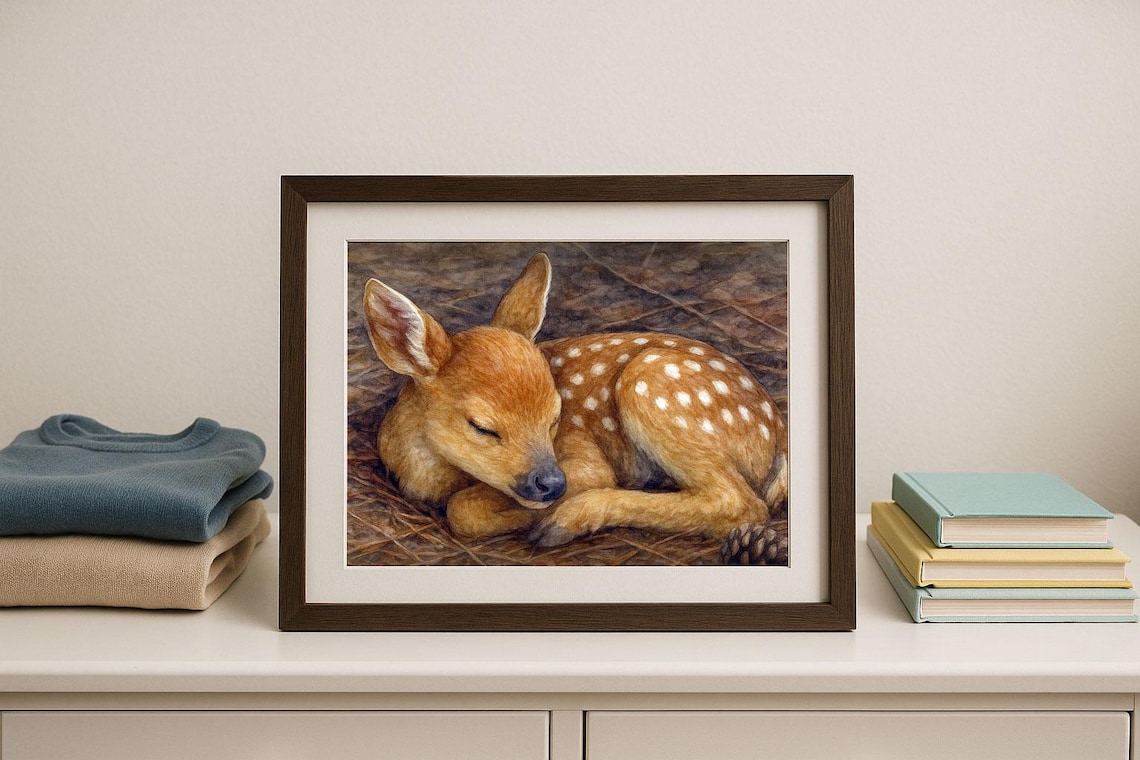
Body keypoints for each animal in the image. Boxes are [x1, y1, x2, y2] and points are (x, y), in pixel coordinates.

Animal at [362, 253, 788, 551]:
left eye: (555, 417)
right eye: (482, 427)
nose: (552, 483)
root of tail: (778, 433)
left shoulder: (585, 459)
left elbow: (462, 509)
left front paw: (535, 519)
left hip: (653, 386)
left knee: (740, 503)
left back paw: (564, 522)